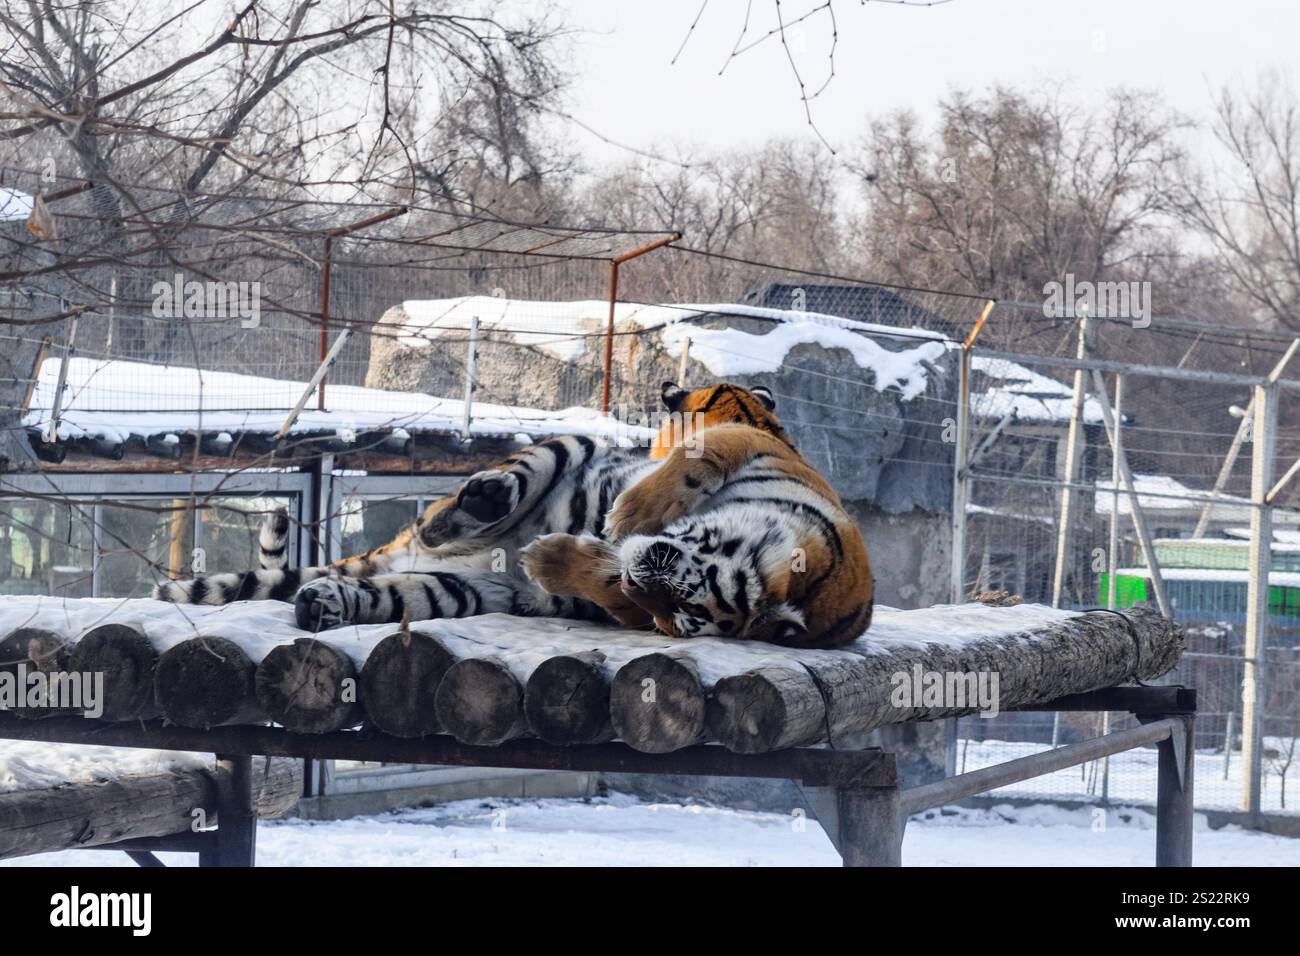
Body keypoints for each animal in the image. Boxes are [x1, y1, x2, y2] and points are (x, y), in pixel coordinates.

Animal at [154, 382, 874, 648]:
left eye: (680, 615)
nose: (635, 576)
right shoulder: (753, 448)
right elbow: (698, 457)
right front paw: (628, 511)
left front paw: (560, 555)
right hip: (566, 447)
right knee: (482, 495)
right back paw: (470, 508)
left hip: (462, 589)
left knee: (391, 590)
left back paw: (323, 605)